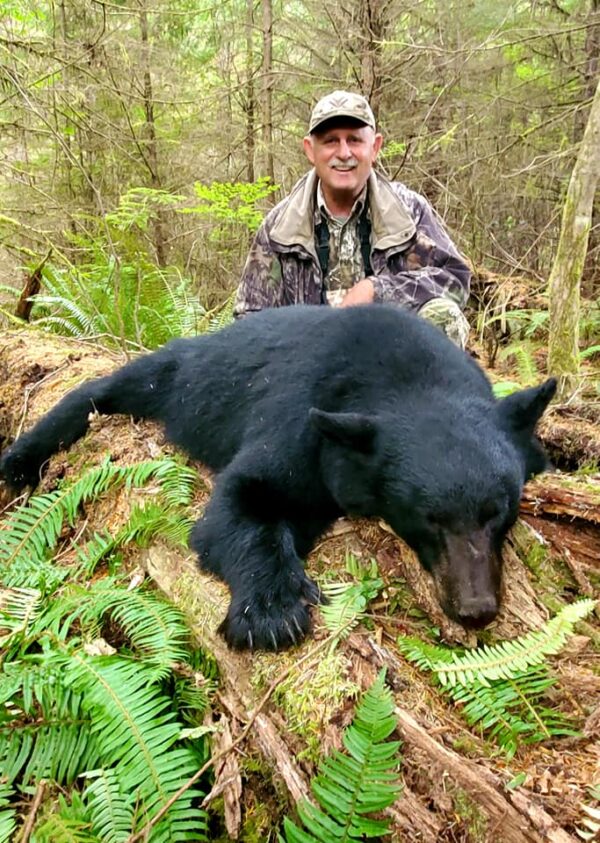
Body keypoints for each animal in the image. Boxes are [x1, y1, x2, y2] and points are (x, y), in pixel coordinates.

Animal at [0, 304, 556, 650]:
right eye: (430, 519)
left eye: (498, 513)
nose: (476, 608)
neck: (406, 375)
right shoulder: (301, 416)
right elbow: (242, 501)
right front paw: (271, 612)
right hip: (175, 372)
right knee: (103, 390)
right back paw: (19, 461)